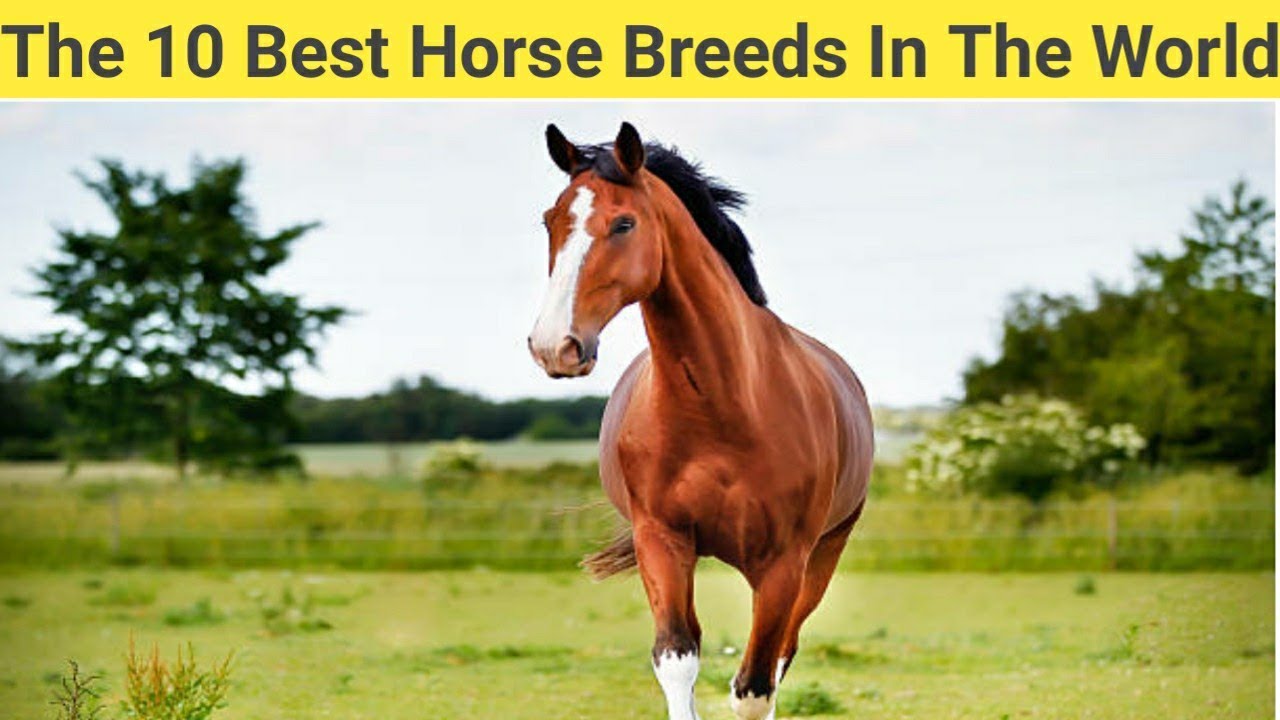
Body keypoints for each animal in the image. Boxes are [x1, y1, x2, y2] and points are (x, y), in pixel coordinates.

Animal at [527, 122, 874, 720]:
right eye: (551, 221)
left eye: (624, 223)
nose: (555, 346)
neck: (721, 407)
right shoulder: (662, 542)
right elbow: (678, 659)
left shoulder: (784, 564)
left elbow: (755, 686)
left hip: (821, 561)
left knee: (782, 657)